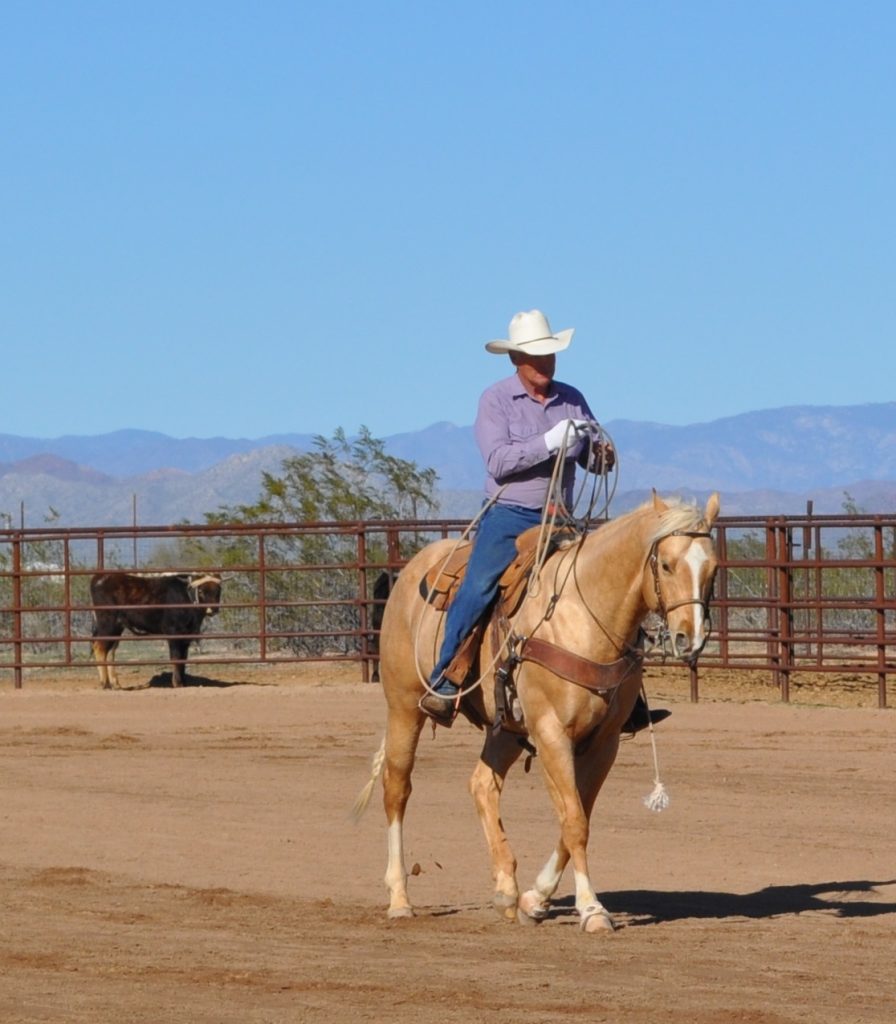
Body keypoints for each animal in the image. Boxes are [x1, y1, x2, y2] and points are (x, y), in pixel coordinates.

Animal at [353, 490, 720, 933]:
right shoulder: (550, 733)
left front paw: (534, 899)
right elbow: (575, 822)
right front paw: (592, 909)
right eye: (666, 564)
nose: (690, 639)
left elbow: (576, 816)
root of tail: (410, 570)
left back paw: (506, 891)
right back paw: (400, 898)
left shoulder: (604, 742)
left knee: (482, 785)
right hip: (405, 707)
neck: (583, 615)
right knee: (397, 789)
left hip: (507, 729)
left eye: (713, 568)